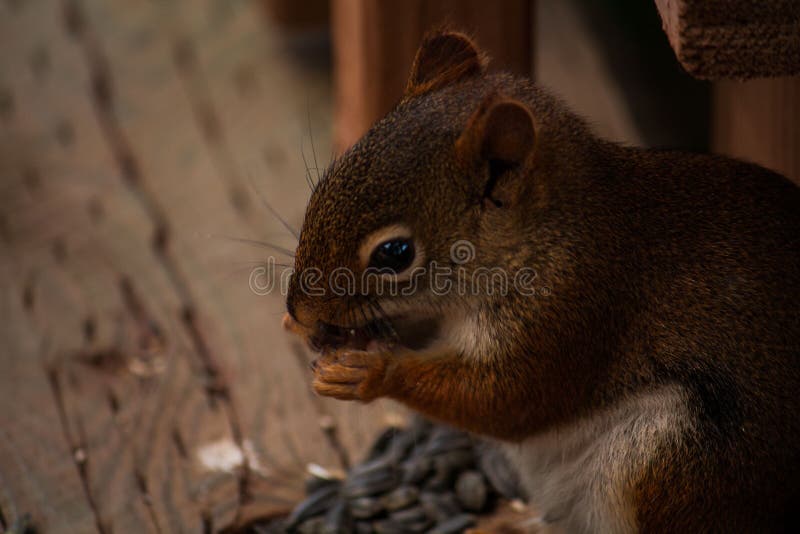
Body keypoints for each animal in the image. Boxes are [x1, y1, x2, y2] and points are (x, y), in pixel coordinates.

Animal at [282, 30, 800, 532]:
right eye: (319, 191)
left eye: (394, 254)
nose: (299, 311)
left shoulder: (574, 307)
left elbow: (509, 399)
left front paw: (371, 371)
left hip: (675, 463)